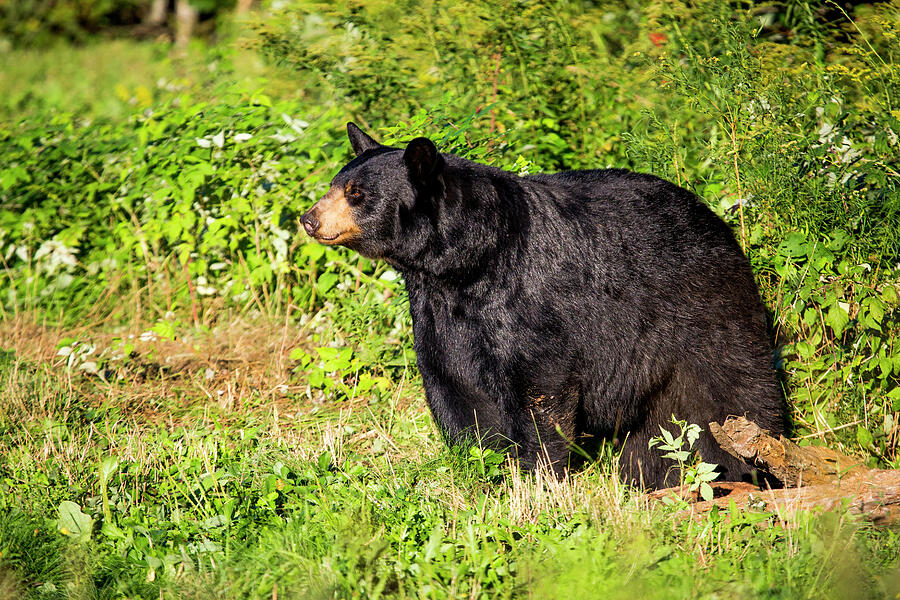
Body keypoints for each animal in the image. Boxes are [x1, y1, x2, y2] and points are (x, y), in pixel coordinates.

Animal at [300, 122, 783, 489]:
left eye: (357, 193)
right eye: (334, 185)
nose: (309, 219)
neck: (467, 264)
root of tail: (717, 223)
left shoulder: (529, 297)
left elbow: (539, 387)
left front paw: (538, 477)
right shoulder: (440, 313)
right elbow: (456, 386)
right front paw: (481, 465)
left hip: (702, 317)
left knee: (727, 396)